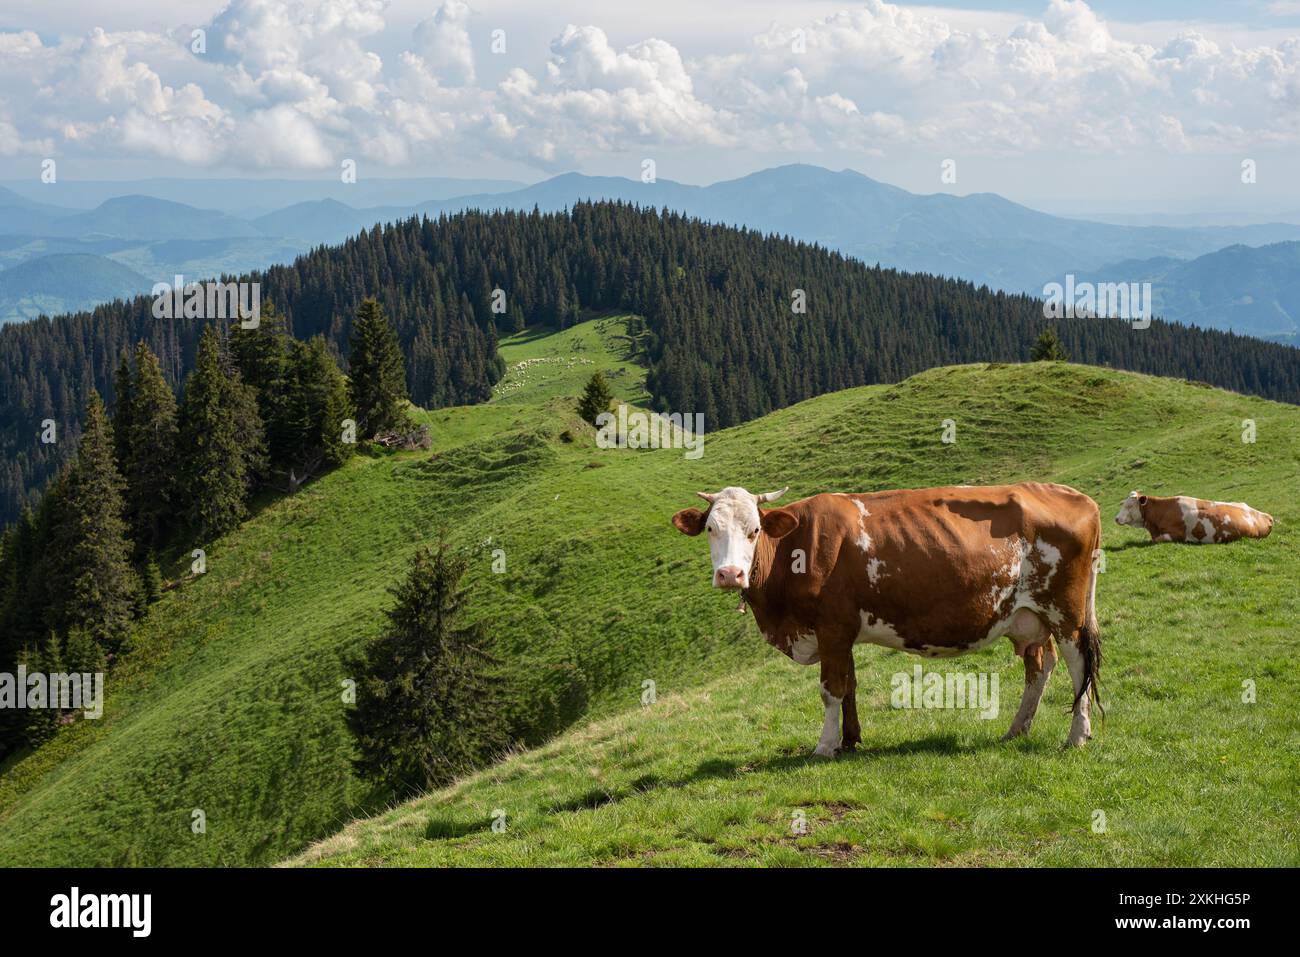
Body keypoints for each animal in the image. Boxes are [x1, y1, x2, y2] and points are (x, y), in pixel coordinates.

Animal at [671, 483, 1103, 755]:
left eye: (755, 529)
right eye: (710, 528)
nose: (730, 574)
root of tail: (1074, 495)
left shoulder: (831, 628)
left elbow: (830, 689)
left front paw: (824, 747)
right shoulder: (842, 632)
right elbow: (849, 686)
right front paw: (849, 740)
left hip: (1066, 612)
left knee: (1078, 666)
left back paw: (1078, 736)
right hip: (1029, 617)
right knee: (1040, 666)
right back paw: (1016, 729)